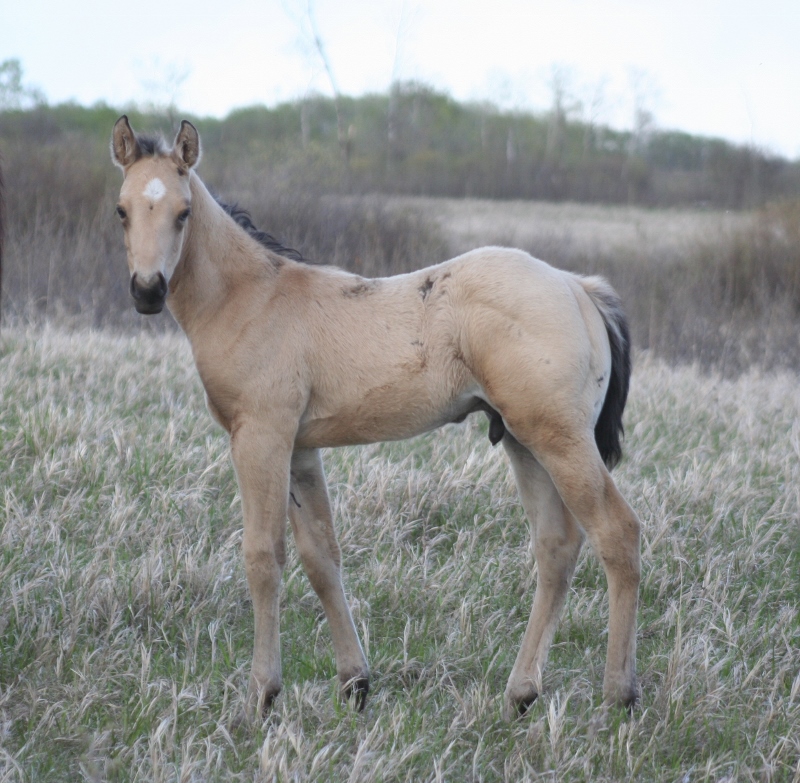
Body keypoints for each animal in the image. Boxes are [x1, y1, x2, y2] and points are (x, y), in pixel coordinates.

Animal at [110, 116, 641, 722]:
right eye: (122, 210)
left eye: (183, 212)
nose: (147, 291)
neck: (251, 299)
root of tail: (578, 286)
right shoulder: (300, 447)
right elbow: (321, 557)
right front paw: (355, 683)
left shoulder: (260, 436)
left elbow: (263, 556)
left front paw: (260, 695)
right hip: (524, 441)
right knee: (556, 547)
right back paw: (520, 694)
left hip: (559, 438)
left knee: (617, 533)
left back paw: (618, 695)